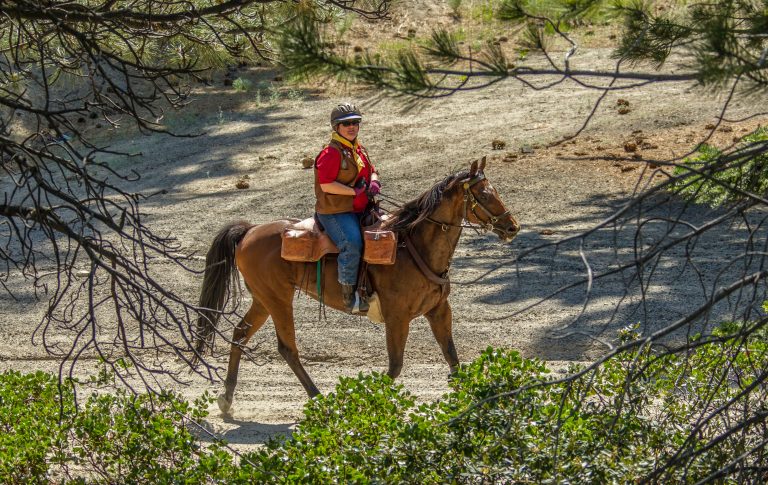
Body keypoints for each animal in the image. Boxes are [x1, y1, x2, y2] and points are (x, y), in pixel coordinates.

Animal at [194, 158, 520, 414]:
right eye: (484, 194)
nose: (512, 226)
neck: (414, 247)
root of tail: (249, 231)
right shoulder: (397, 317)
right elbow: (395, 366)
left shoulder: (439, 310)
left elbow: (452, 357)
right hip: (278, 299)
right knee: (287, 348)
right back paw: (318, 398)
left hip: (263, 299)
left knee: (240, 334)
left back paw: (226, 399)